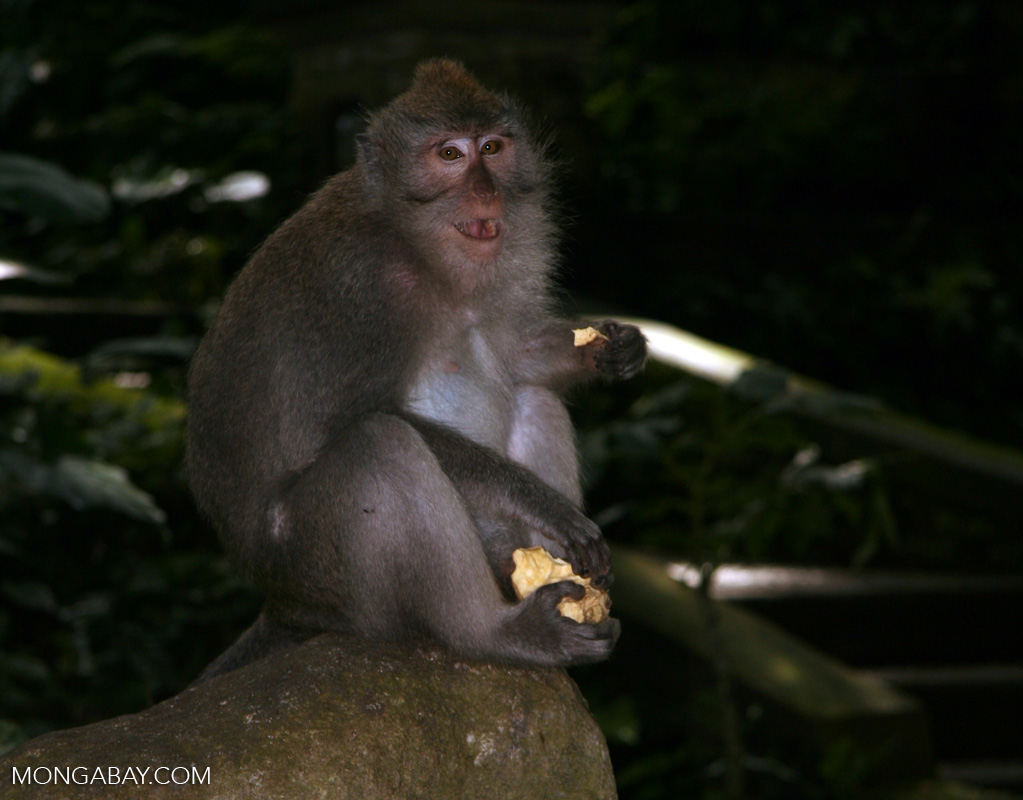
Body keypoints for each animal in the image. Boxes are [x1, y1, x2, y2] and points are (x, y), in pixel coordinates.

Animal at [186, 59, 647, 678]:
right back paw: (498, 633)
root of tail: (281, 602)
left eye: (492, 148)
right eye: (449, 155)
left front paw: (611, 348)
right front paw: (541, 502)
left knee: (532, 395)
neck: (415, 245)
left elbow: (513, 354)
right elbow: (347, 420)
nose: (485, 191)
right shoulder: (360, 289)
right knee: (379, 445)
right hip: (320, 572)